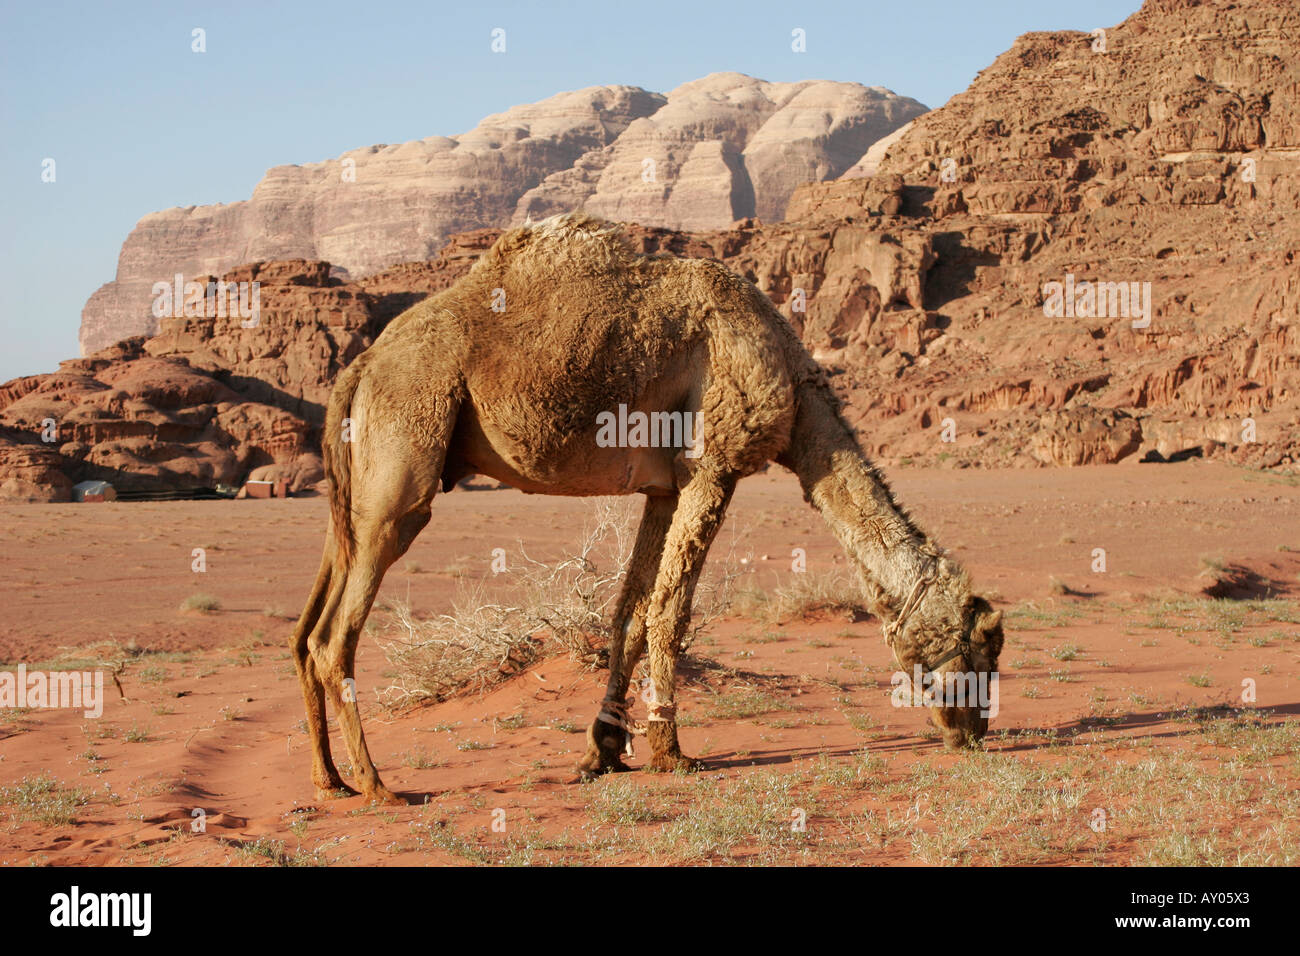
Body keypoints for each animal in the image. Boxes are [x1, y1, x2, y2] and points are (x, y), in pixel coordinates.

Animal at [289, 213, 1004, 803]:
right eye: (983, 648)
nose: (974, 732)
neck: (797, 395)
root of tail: (361, 366)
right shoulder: (712, 467)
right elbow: (671, 612)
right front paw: (670, 751)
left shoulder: (664, 487)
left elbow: (629, 612)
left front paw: (603, 750)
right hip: (404, 458)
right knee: (333, 636)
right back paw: (377, 785)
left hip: (354, 494)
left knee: (307, 626)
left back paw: (328, 780)